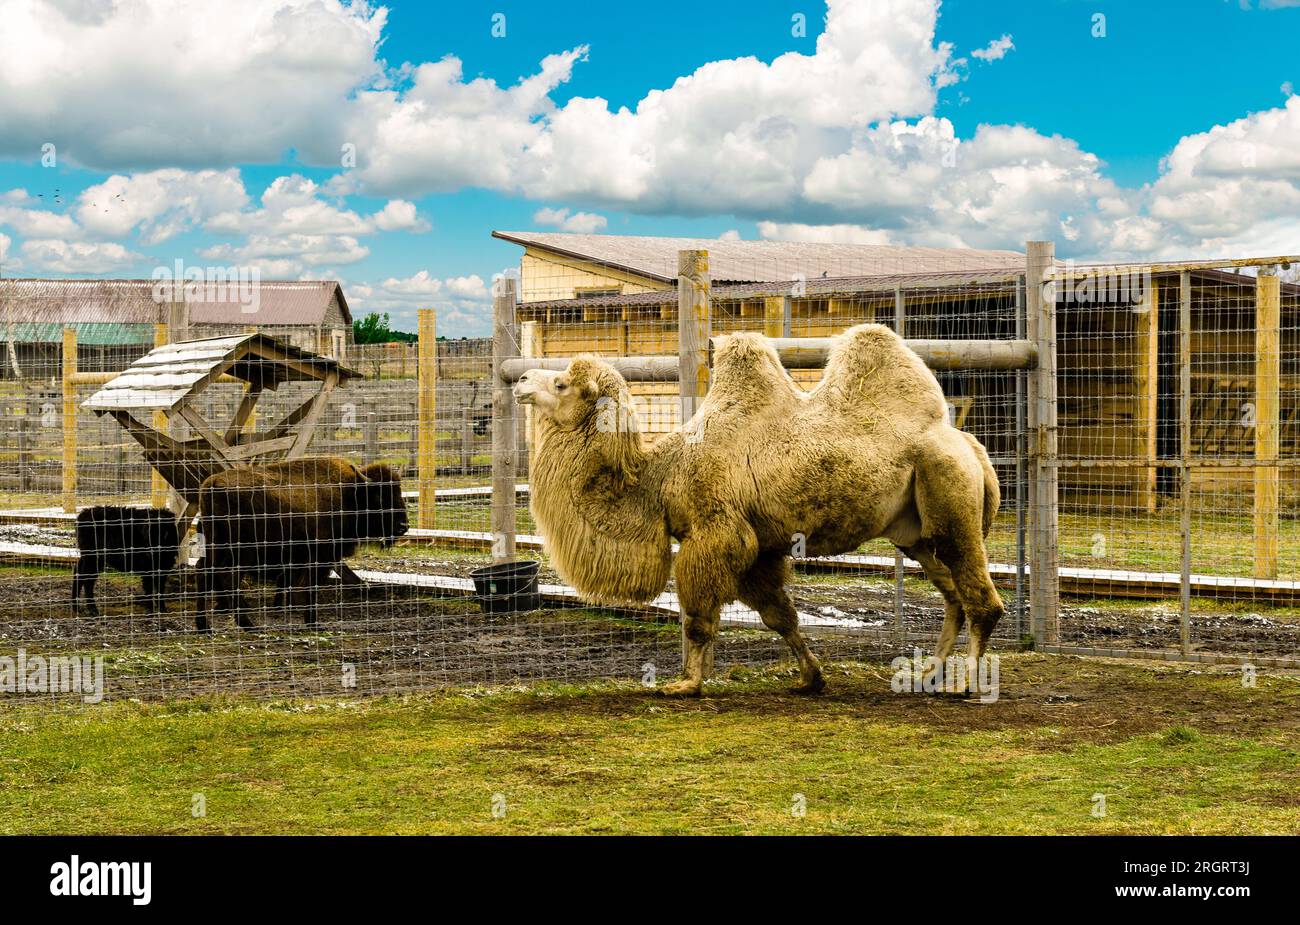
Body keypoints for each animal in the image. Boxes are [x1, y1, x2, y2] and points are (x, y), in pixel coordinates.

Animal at [513, 323, 1002, 697]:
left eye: (561, 383)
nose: (520, 381)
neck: (659, 479)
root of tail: (971, 448)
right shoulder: (759, 548)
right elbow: (778, 616)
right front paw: (811, 678)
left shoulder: (716, 532)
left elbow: (698, 617)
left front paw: (687, 684)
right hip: (915, 532)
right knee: (953, 595)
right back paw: (927, 675)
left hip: (950, 493)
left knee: (982, 599)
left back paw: (964, 685)